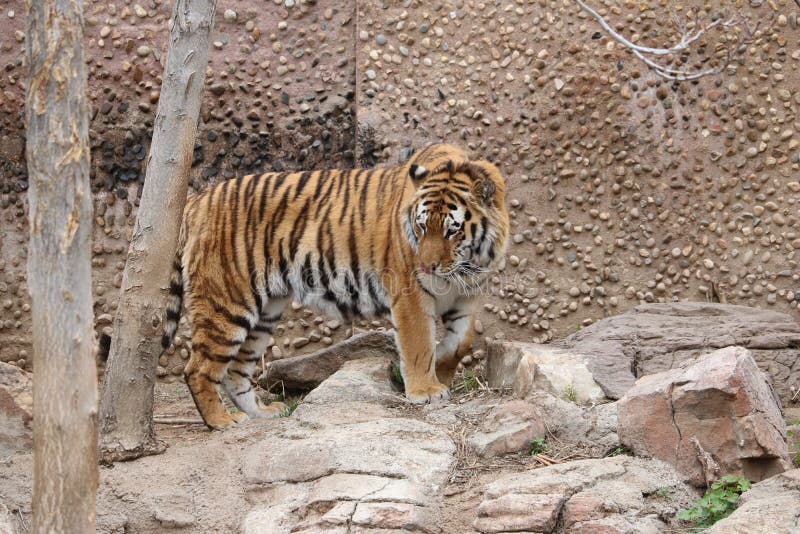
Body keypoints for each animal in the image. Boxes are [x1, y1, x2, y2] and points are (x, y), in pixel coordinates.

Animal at [160, 143, 509, 429]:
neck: (467, 265)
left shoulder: (469, 293)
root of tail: (197, 199)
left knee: (236, 371)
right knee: (198, 368)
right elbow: (419, 342)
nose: (426, 266)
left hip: (265, 312)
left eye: (452, 231)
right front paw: (426, 389)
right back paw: (221, 421)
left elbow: (461, 341)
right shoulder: (410, 294)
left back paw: (261, 413)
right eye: (422, 227)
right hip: (227, 302)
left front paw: (443, 370)